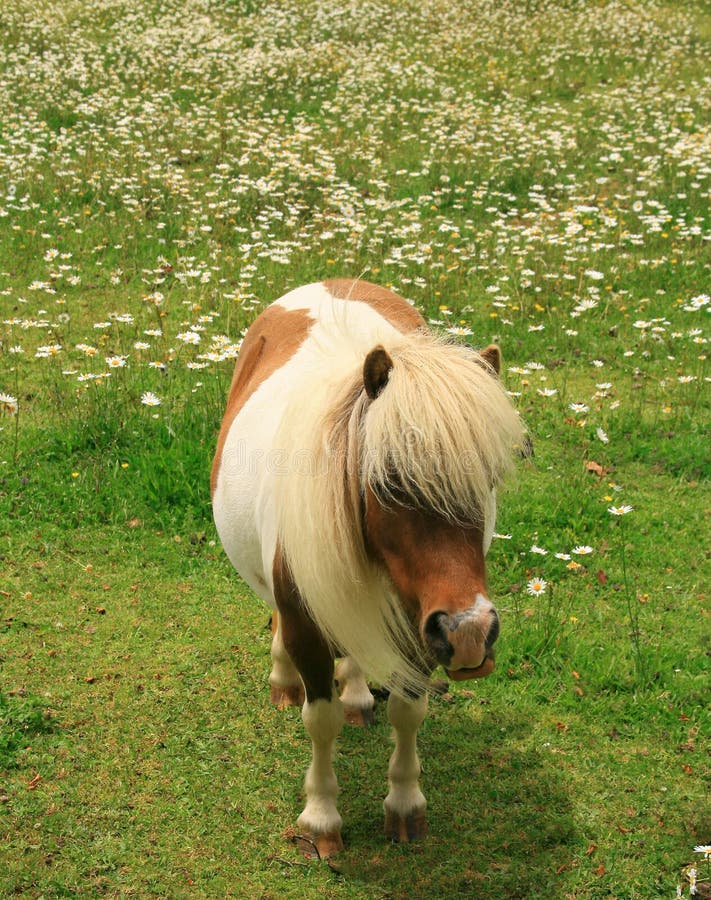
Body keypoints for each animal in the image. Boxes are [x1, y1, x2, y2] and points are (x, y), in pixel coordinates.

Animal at [211, 278, 525, 859]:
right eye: (388, 481)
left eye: (489, 478)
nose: (470, 633)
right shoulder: (308, 625)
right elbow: (320, 720)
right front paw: (320, 818)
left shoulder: (419, 623)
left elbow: (408, 711)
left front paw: (404, 803)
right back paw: (283, 679)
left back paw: (358, 694)